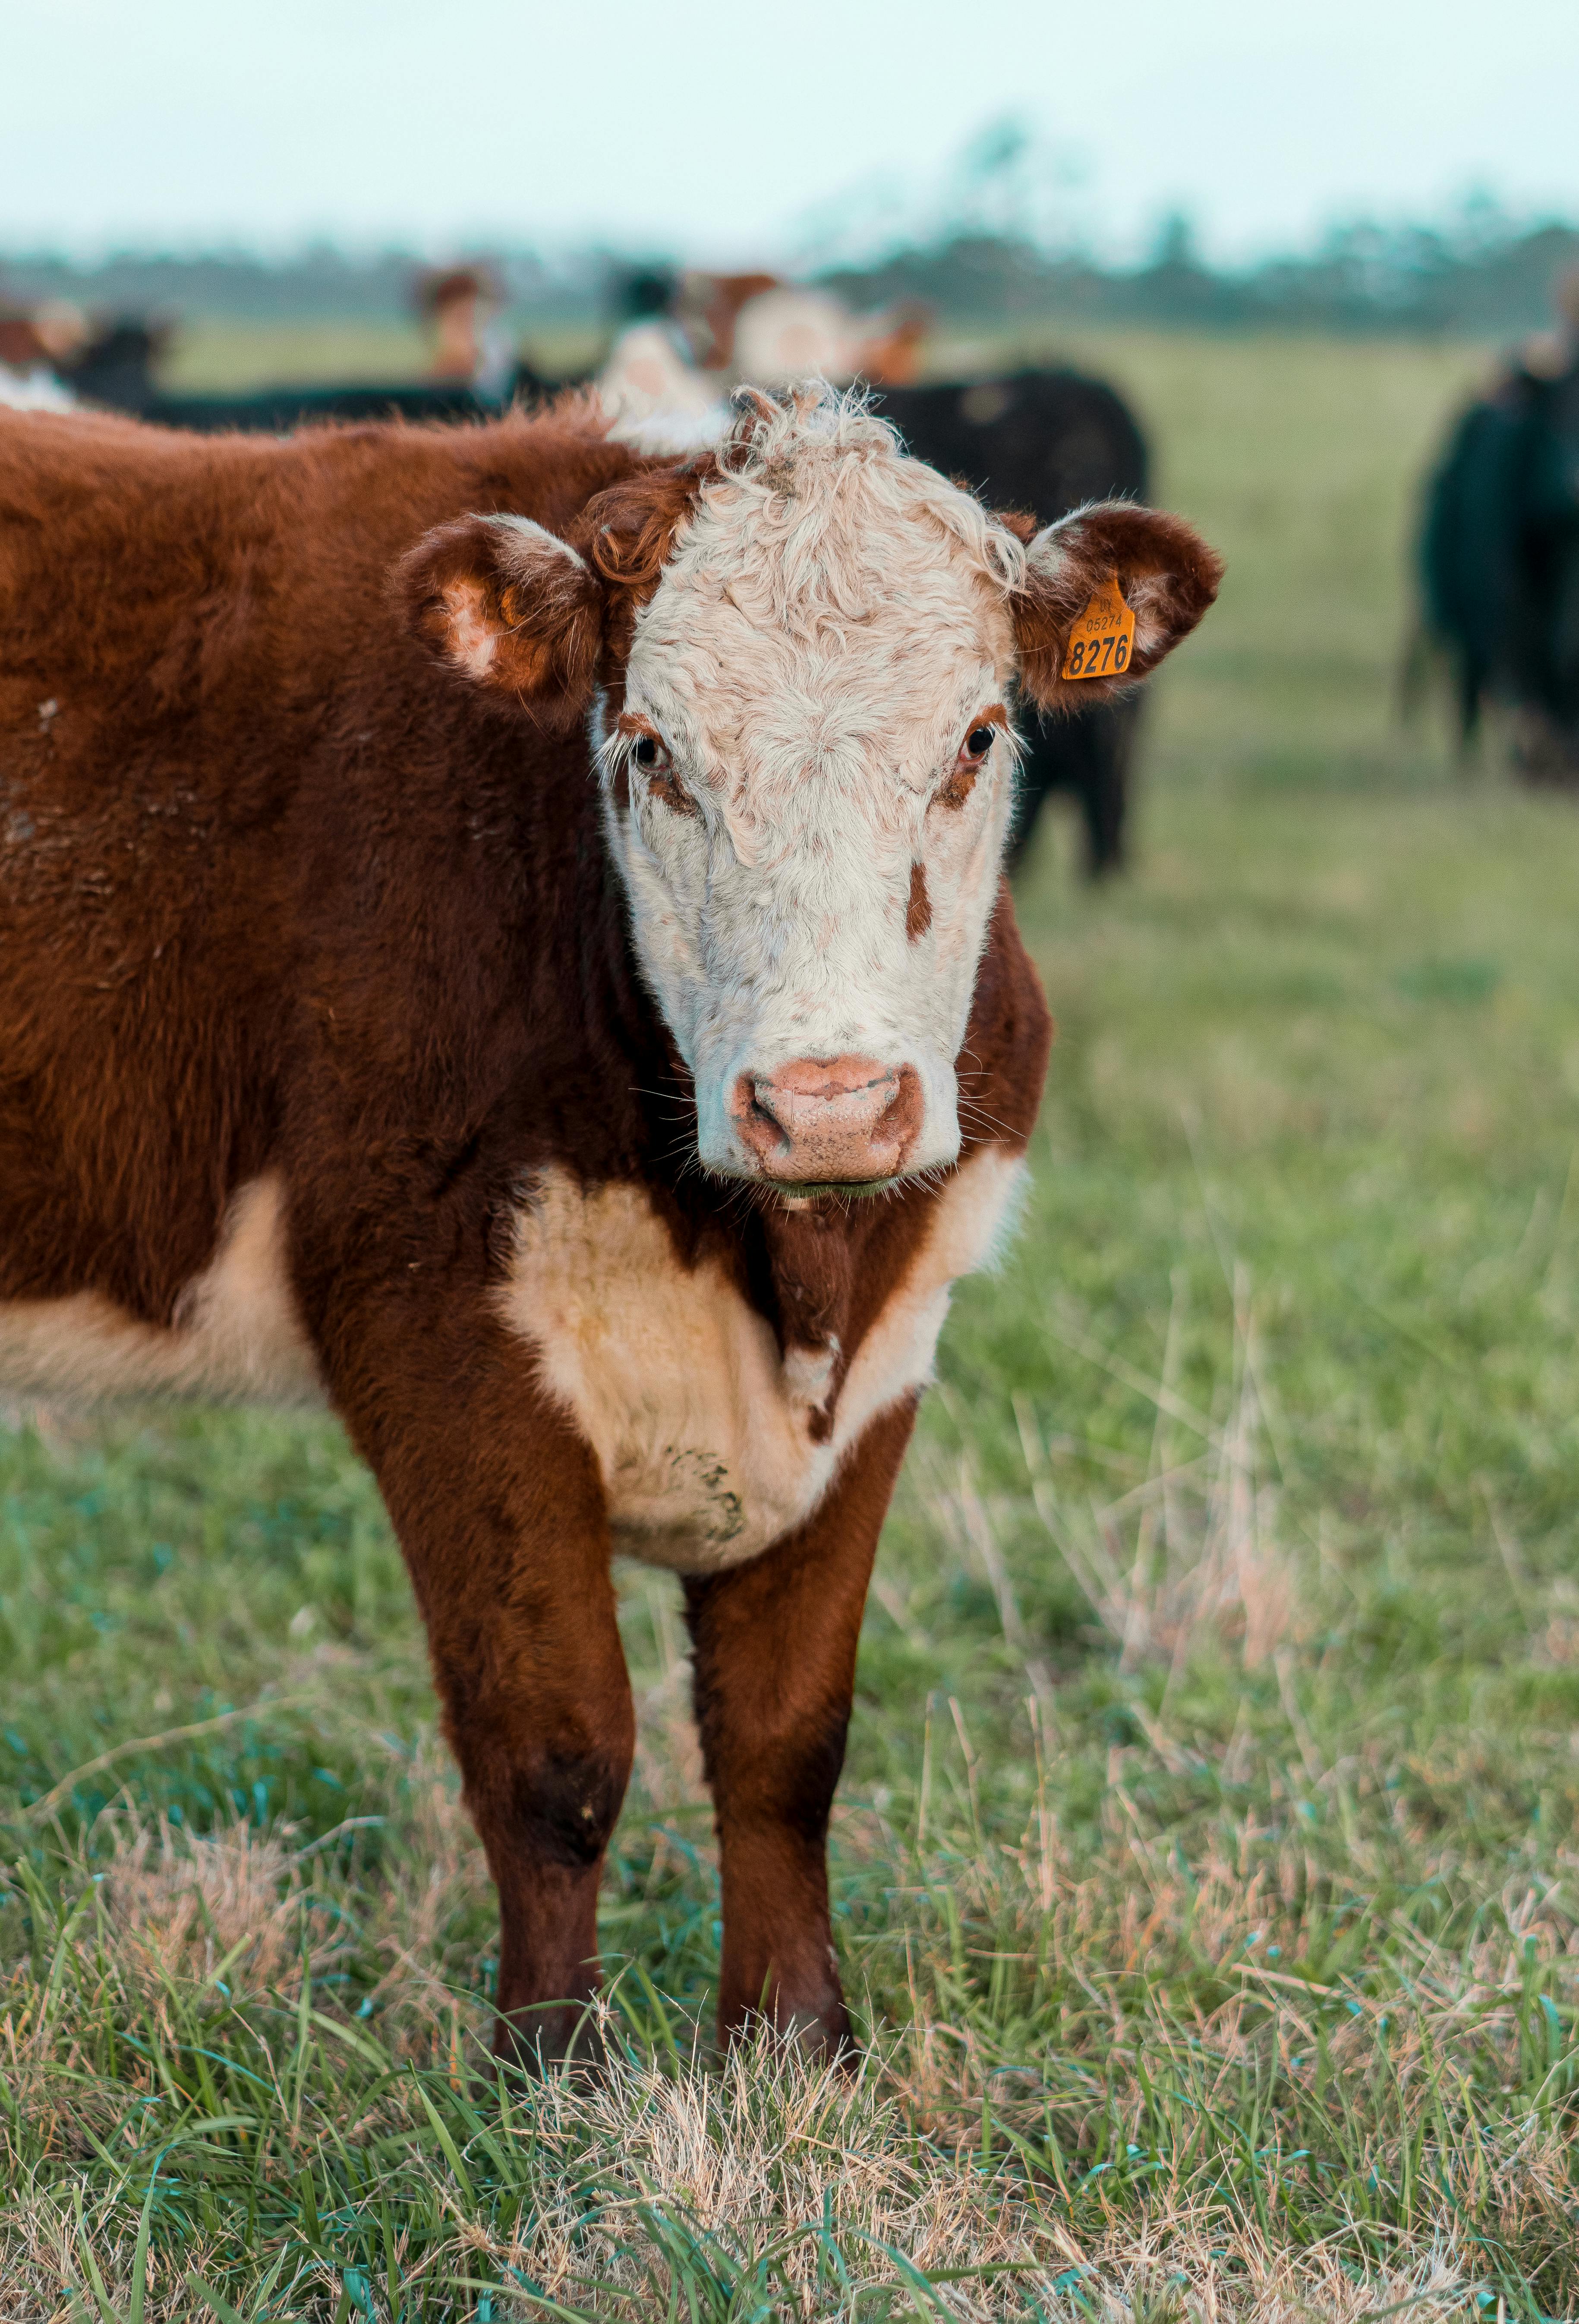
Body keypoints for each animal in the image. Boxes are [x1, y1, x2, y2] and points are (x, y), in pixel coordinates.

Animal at [0, 386, 1220, 2064]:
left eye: (974, 737)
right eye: (650, 749)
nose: (826, 1105)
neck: (775, 1262)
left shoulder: (891, 1343)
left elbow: (783, 1736)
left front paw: (796, 2042)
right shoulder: (435, 1327)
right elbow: (554, 1745)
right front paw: (548, 2067)